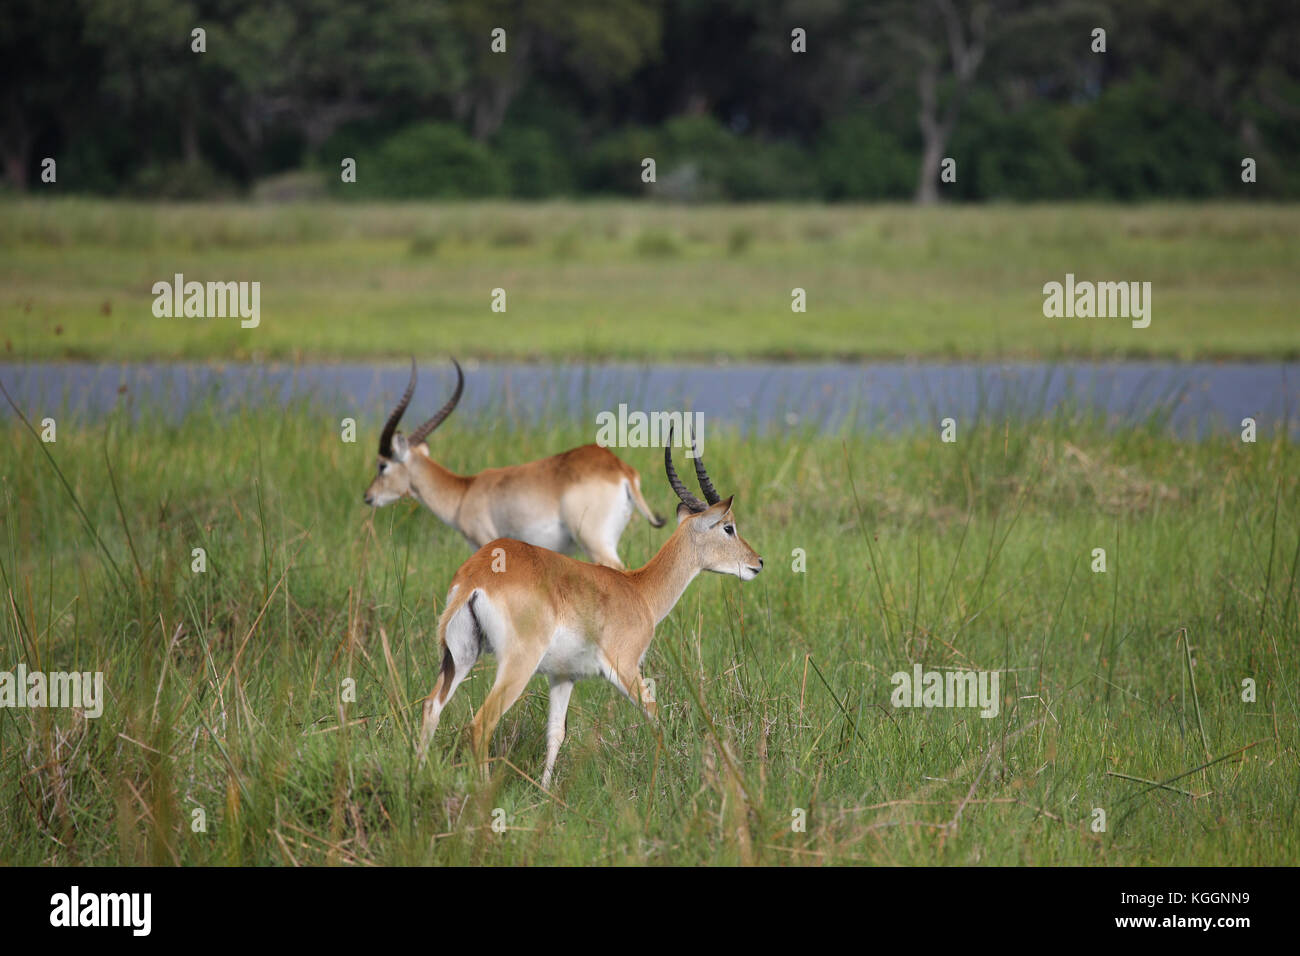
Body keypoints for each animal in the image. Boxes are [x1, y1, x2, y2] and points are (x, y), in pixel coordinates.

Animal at [364, 359, 664, 569]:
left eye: (382, 465)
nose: (368, 497)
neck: (465, 493)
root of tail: (619, 468)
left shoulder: (486, 543)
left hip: (596, 544)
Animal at [418, 430, 763, 788]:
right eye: (728, 527)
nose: (758, 563)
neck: (638, 590)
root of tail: (477, 575)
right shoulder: (624, 666)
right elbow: (654, 717)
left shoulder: (562, 675)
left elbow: (556, 733)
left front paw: (545, 791)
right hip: (517, 663)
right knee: (481, 723)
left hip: (460, 656)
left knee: (431, 707)